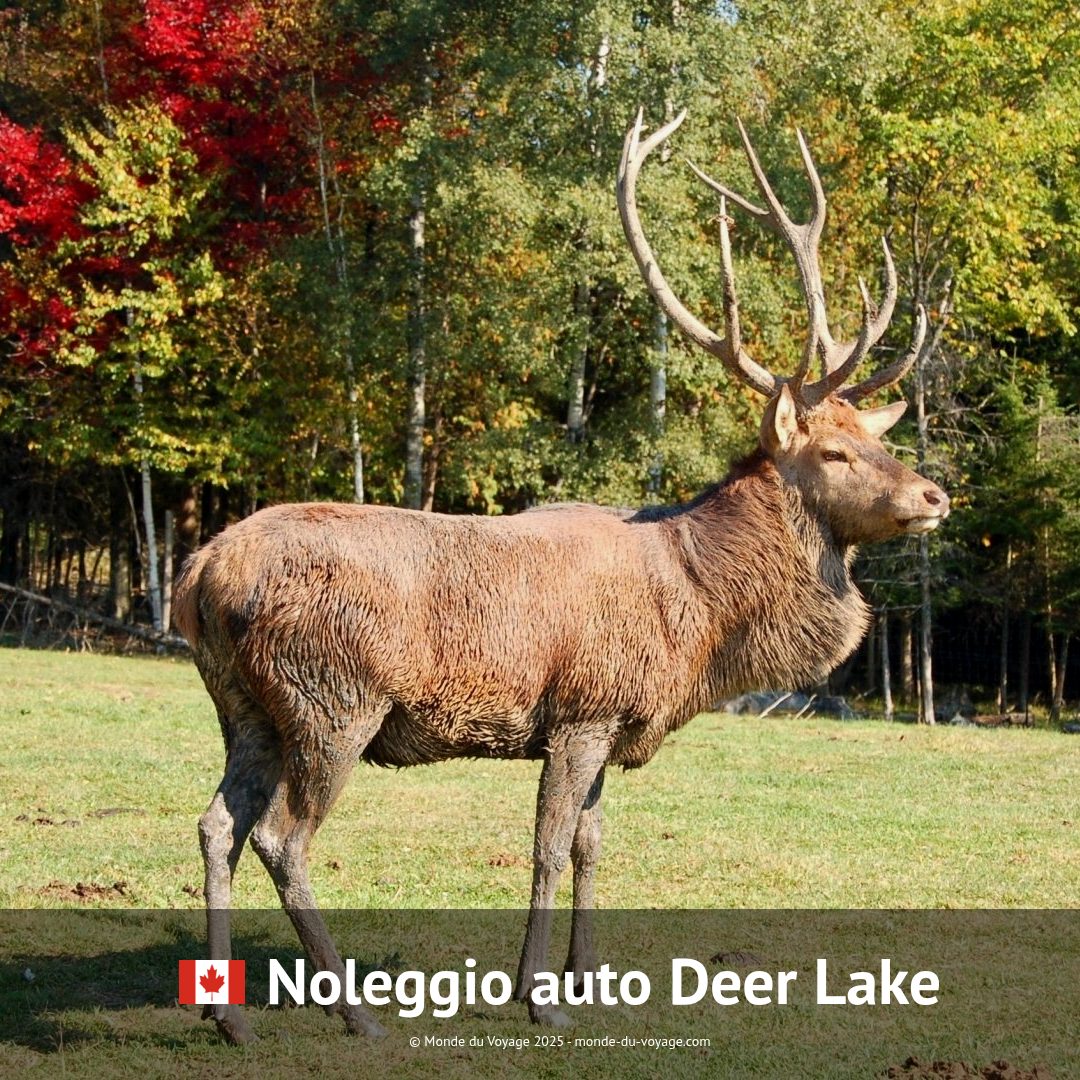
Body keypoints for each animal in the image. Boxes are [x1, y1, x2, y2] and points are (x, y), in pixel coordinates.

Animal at [173, 109, 949, 1043]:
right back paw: (355, 1011)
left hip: (245, 705)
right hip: (333, 698)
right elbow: (546, 844)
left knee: (217, 821)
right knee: (281, 835)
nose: (934, 494)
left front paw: (586, 979)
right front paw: (539, 996)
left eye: (875, 437)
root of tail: (198, 574)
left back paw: (227, 1015)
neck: (696, 614)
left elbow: (590, 842)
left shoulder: (615, 719)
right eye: (834, 452)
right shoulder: (583, 710)